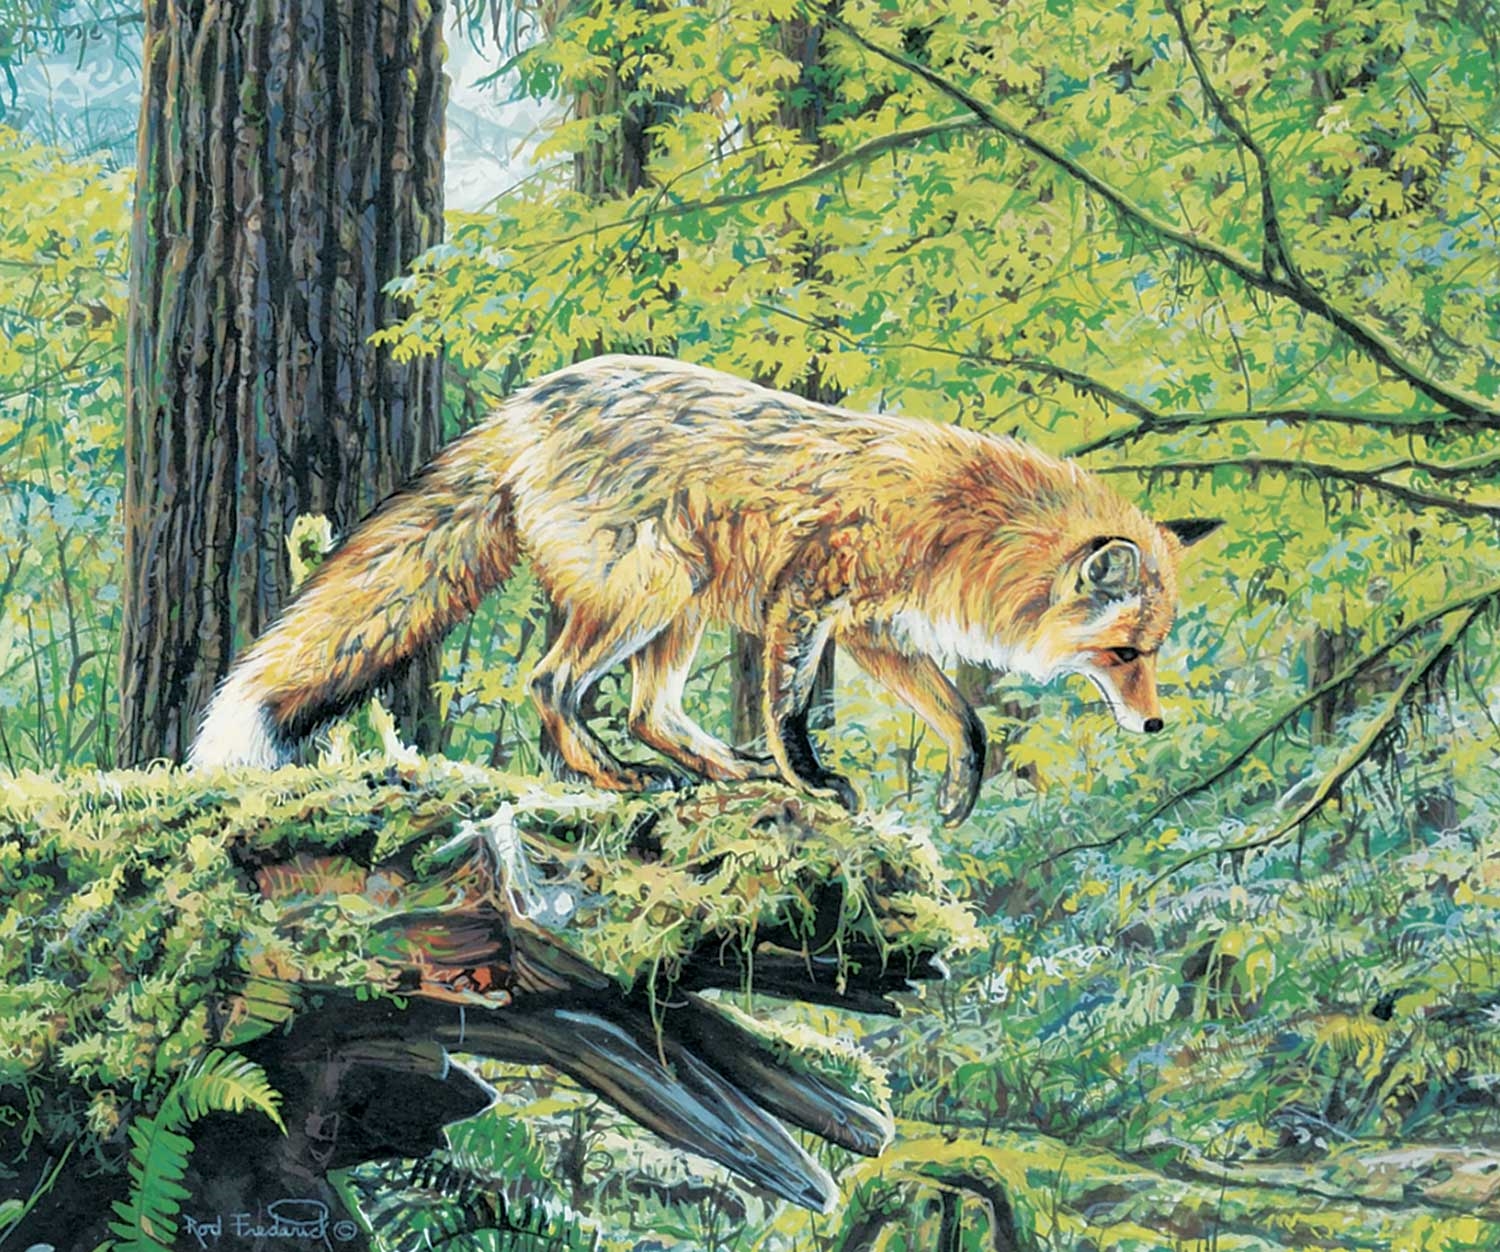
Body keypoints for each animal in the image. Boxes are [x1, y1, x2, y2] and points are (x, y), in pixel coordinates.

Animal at [189, 355, 1218, 824]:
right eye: (1124, 654)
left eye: (1150, 655)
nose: (1155, 723)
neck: (960, 521)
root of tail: (524, 407)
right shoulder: (807, 600)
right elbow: (790, 709)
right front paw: (809, 778)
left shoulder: (879, 631)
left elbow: (961, 718)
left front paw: (962, 787)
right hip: (650, 589)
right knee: (552, 685)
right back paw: (618, 779)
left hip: (678, 609)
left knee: (651, 711)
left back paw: (716, 772)